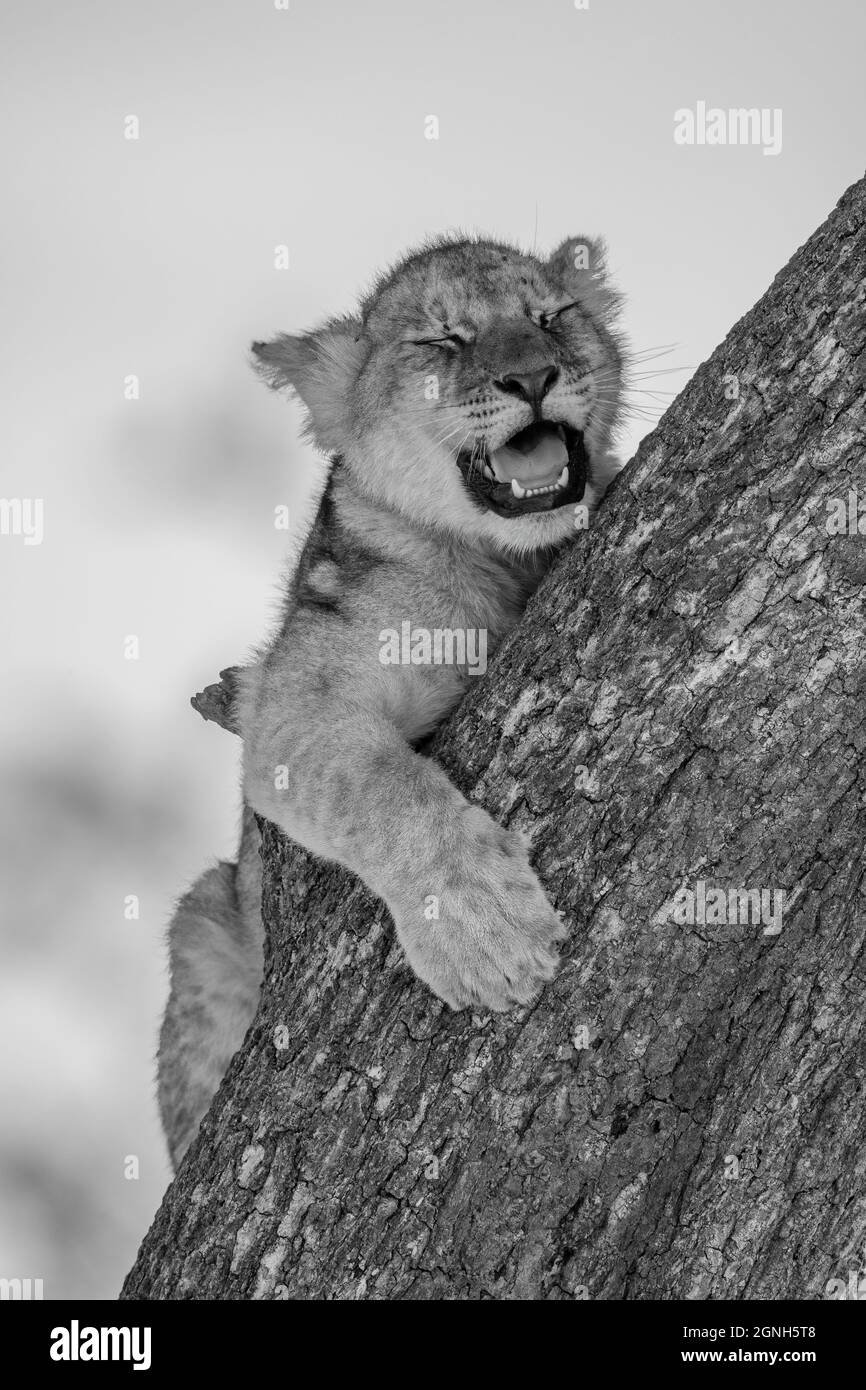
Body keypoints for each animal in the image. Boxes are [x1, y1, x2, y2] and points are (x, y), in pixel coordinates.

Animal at [157, 233, 625, 1167]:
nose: (534, 376)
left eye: (553, 315)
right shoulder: (294, 700)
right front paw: (489, 934)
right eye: (440, 341)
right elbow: (385, 793)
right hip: (201, 919)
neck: (508, 564)